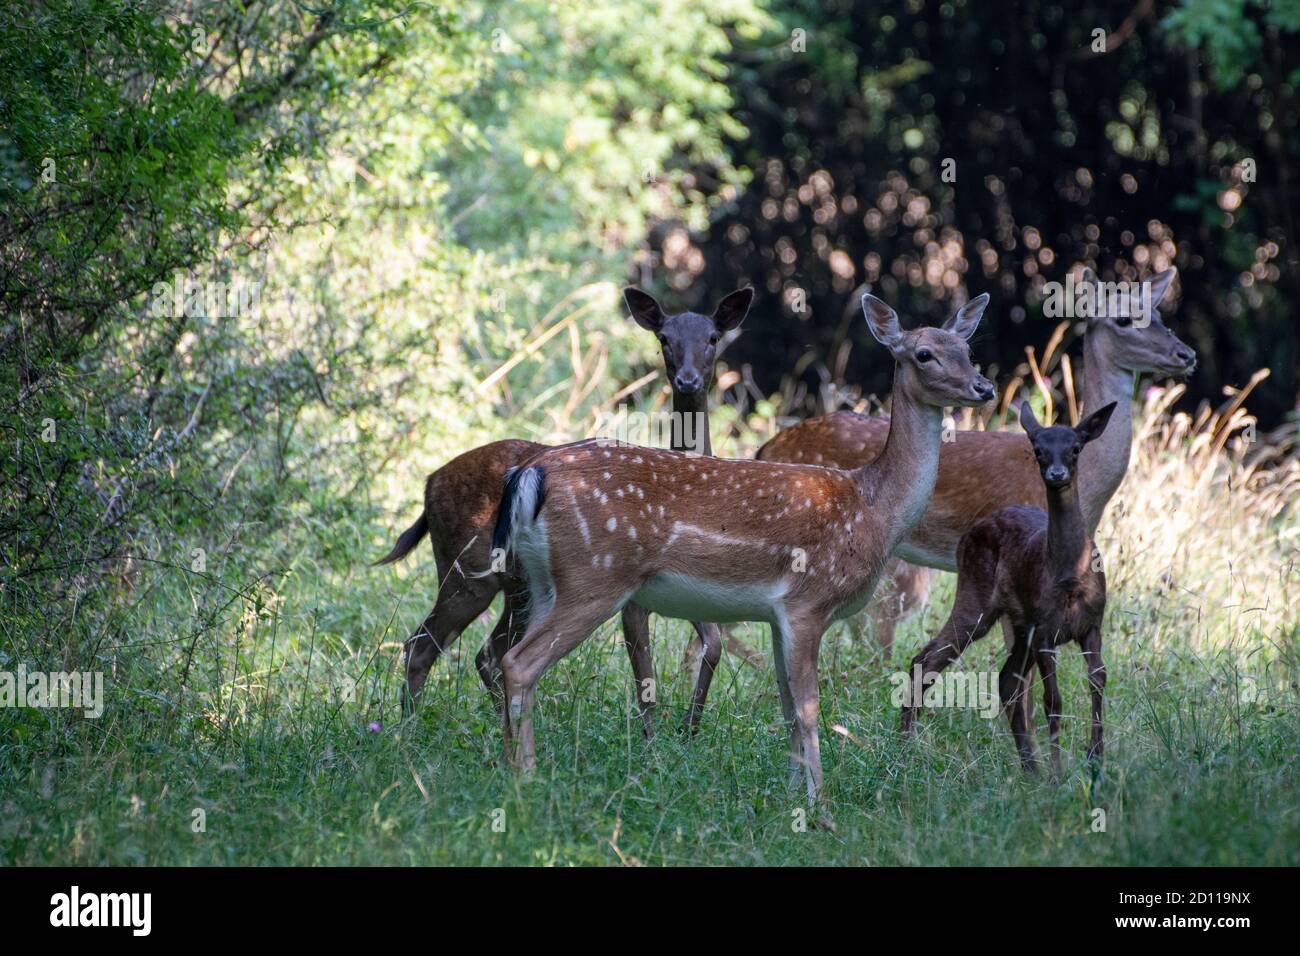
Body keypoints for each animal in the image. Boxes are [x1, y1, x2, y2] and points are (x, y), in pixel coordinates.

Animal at [374, 287, 756, 731]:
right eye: (664, 338)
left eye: (713, 337)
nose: (688, 379)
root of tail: (429, 483)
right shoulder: (631, 594)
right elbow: (644, 671)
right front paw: (652, 736)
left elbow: (712, 645)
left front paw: (689, 730)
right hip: (464, 569)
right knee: (423, 643)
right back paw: (408, 729)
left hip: (519, 586)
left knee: (487, 652)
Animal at [490, 292, 993, 812]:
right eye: (924, 354)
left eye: (967, 349)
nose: (984, 387)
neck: (873, 509)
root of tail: (530, 474)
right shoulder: (808, 602)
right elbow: (808, 708)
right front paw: (822, 808)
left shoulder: (776, 615)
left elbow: (787, 707)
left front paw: (791, 800)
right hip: (595, 576)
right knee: (519, 663)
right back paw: (527, 777)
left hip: (545, 581)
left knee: (503, 658)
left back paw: (507, 767)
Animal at [899, 401, 1116, 777]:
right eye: (1038, 449)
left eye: (1075, 448)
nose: (1056, 474)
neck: (1069, 577)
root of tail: (969, 535)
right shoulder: (1045, 628)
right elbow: (1053, 699)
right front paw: (1059, 773)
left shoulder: (1092, 623)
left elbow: (1097, 681)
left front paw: (1095, 760)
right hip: (977, 598)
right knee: (926, 658)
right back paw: (903, 746)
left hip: (1018, 622)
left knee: (1006, 679)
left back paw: (1030, 767)